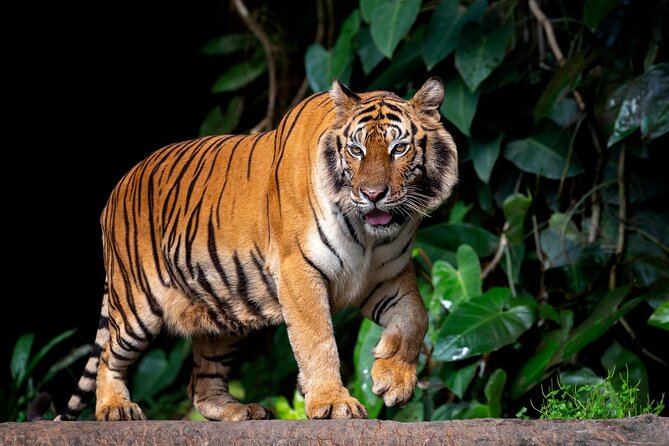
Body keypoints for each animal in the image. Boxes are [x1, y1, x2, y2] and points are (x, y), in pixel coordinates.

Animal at [55, 77, 457, 421]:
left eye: (399, 148)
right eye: (356, 151)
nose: (373, 194)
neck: (370, 236)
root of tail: (118, 187)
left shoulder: (389, 274)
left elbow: (416, 318)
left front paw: (392, 378)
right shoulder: (299, 270)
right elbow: (317, 339)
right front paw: (332, 402)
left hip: (223, 311)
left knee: (200, 383)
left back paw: (241, 410)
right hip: (137, 305)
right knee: (108, 356)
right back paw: (115, 407)